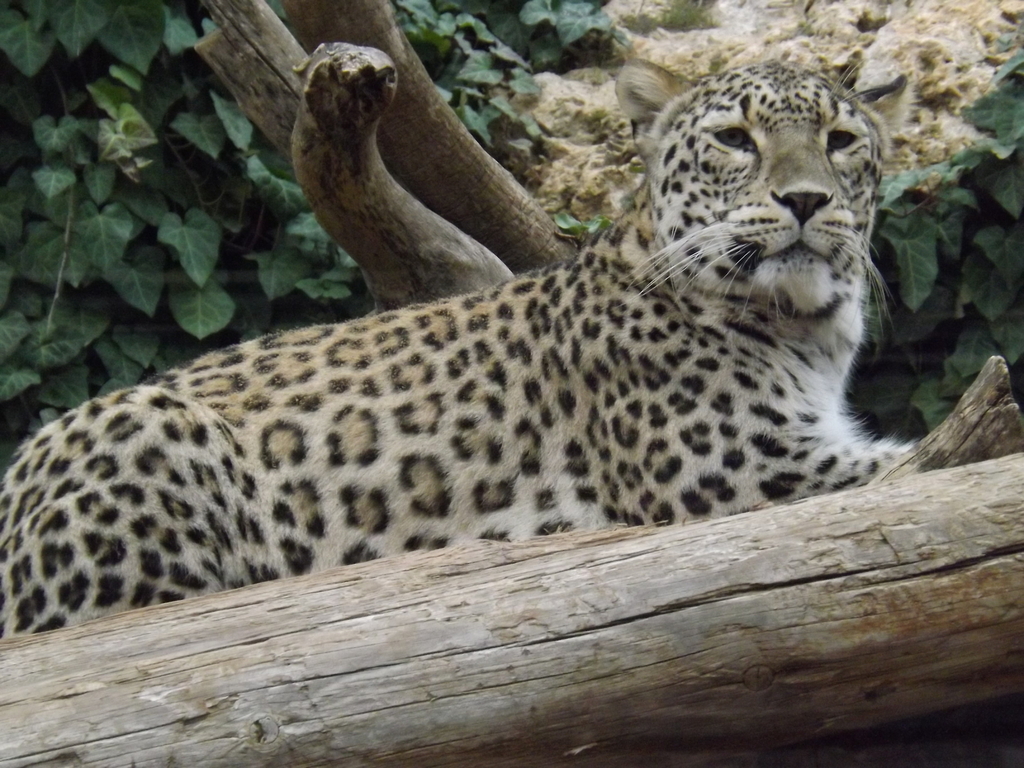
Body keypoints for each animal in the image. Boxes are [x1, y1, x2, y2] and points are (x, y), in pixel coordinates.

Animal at [0, 58, 914, 637]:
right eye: (734, 139)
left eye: (841, 141)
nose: (806, 200)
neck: (808, 327)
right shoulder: (741, 475)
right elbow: (908, 464)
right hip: (148, 420)